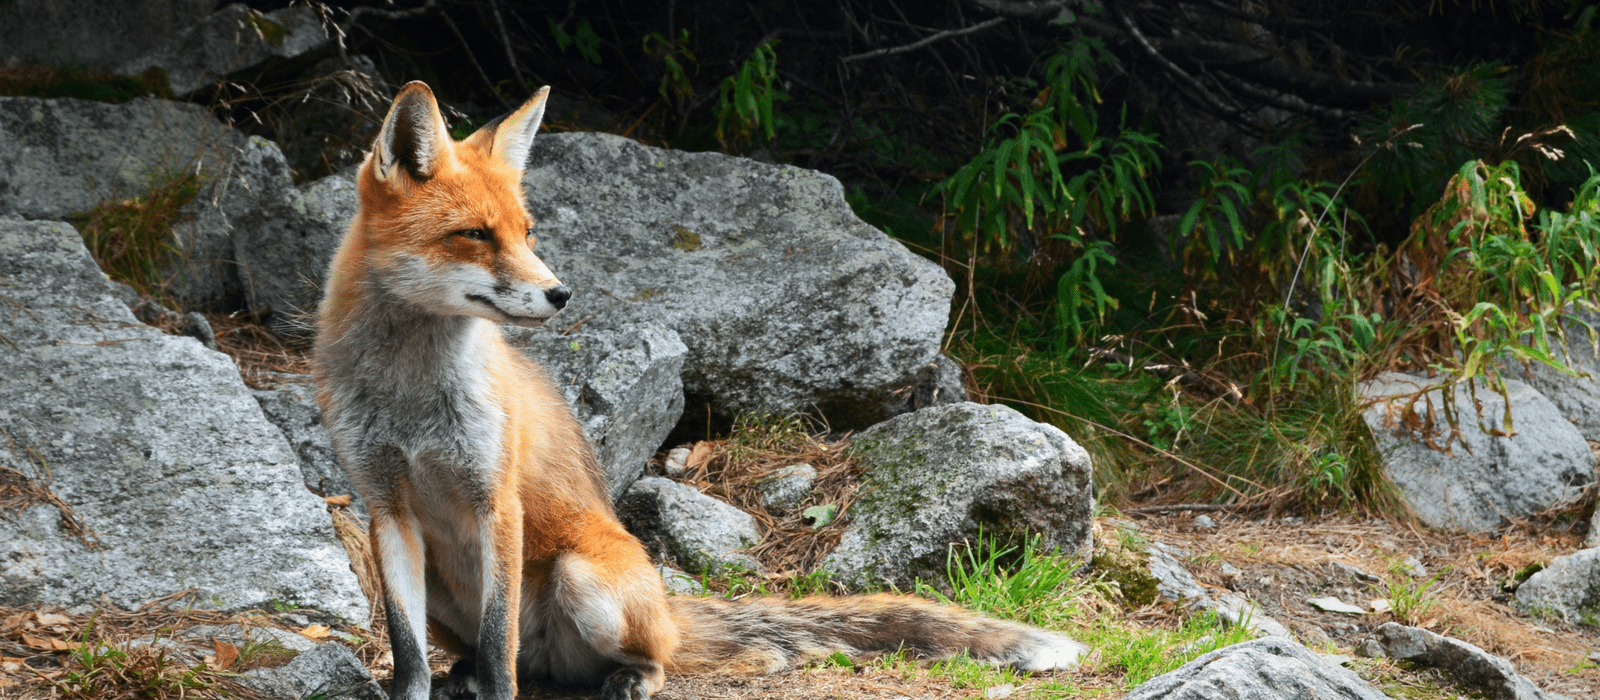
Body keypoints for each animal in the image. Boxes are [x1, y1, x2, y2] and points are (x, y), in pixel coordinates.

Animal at [311, 81, 1088, 700]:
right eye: (475, 234)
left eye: (528, 233)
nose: (561, 294)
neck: (410, 398)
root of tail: (663, 606)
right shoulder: (387, 510)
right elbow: (408, 655)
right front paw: (419, 688)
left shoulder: (495, 502)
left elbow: (501, 652)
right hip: (446, 593)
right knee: (498, 657)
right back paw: (468, 674)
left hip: (584, 581)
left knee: (623, 660)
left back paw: (629, 678)